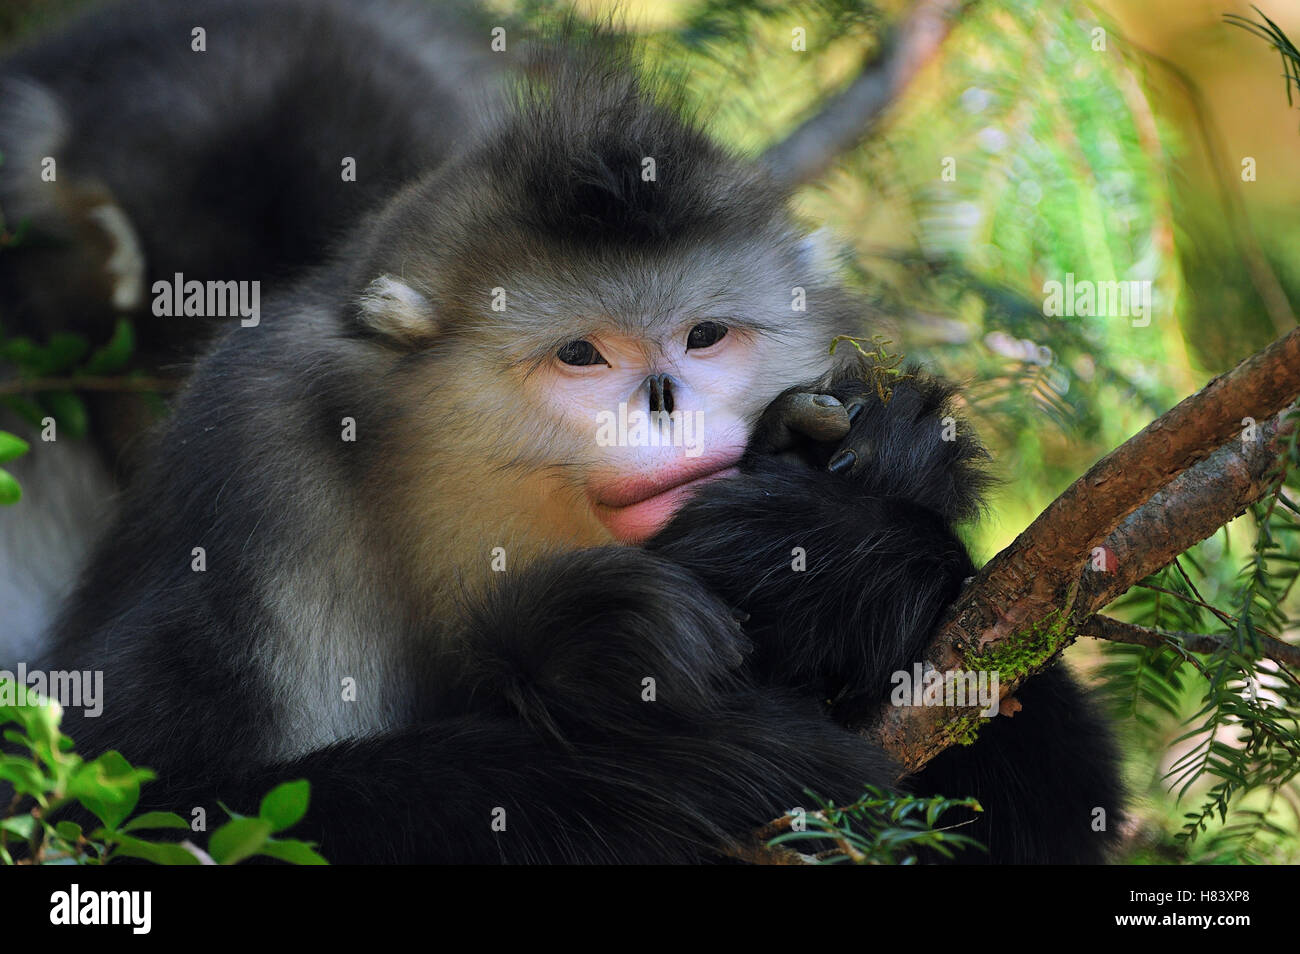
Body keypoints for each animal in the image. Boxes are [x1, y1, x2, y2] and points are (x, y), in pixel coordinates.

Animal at [1, 0, 1122, 863]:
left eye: (704, 335)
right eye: (581, 356)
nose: (667, 400)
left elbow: (1062, 817)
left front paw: (848, 547)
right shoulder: (257, 462)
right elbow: (112, 803)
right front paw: (622, 695)